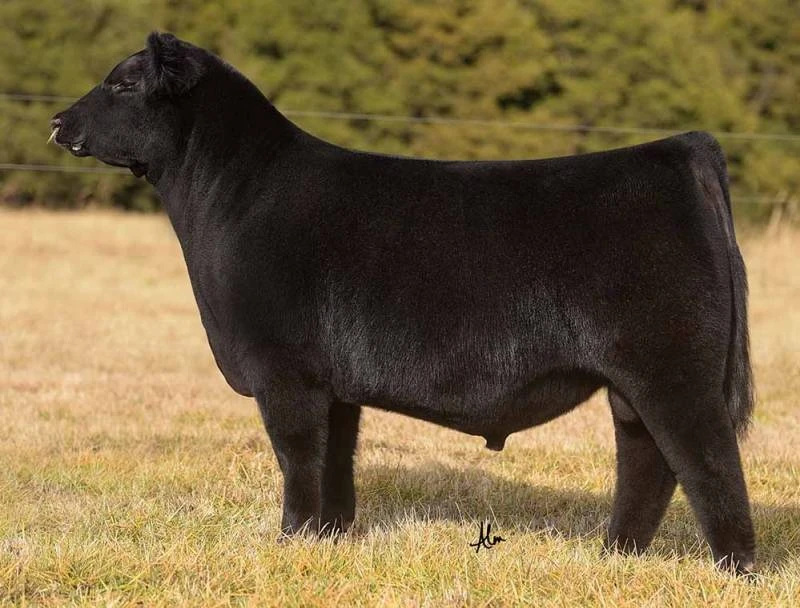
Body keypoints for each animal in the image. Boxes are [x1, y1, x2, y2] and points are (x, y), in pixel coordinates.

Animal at [50, 32, 755, 574]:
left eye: (122, 84)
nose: (58, 122)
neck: (231, 200)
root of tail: (679, 148)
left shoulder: (284, 373)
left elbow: (297, 457)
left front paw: (290, 540)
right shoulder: (334, 384)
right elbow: (335, 461)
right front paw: (327, 539)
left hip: (672, 371)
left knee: (708, 460)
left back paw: (735, 569)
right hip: (632, 384)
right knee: (647, 461)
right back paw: (616, 556)